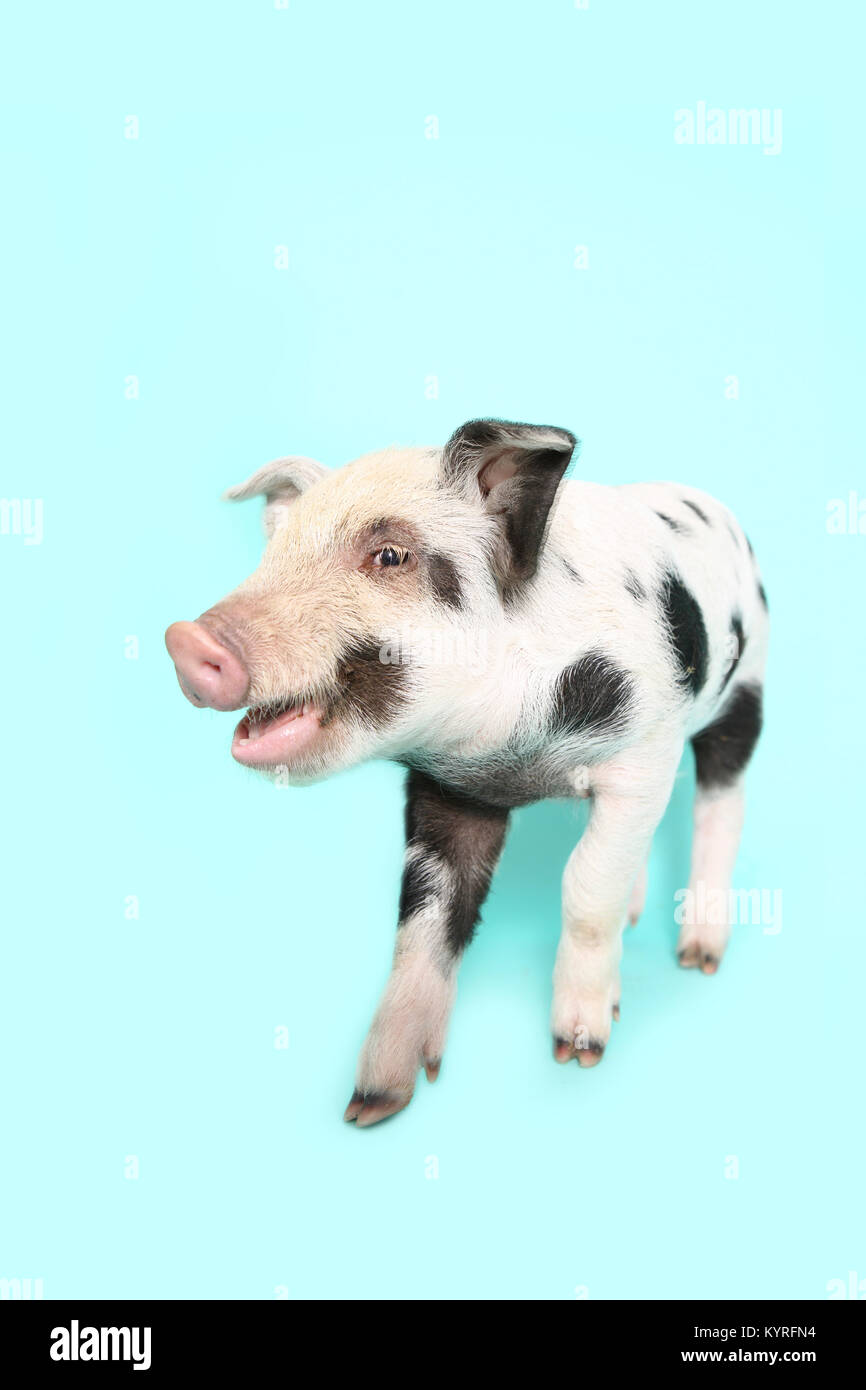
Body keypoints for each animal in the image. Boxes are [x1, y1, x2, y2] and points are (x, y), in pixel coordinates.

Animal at [165, 419, 768, 1126]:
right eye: (274, 552)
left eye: (390, 555)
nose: (185, 640)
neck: (517, 759)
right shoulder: (450, 792)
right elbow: (423, 917)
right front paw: (371, 1105)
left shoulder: (642, 757)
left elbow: (587, 883)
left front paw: (578, 1052)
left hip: (748, 686)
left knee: (721, 803)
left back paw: (699, 957)